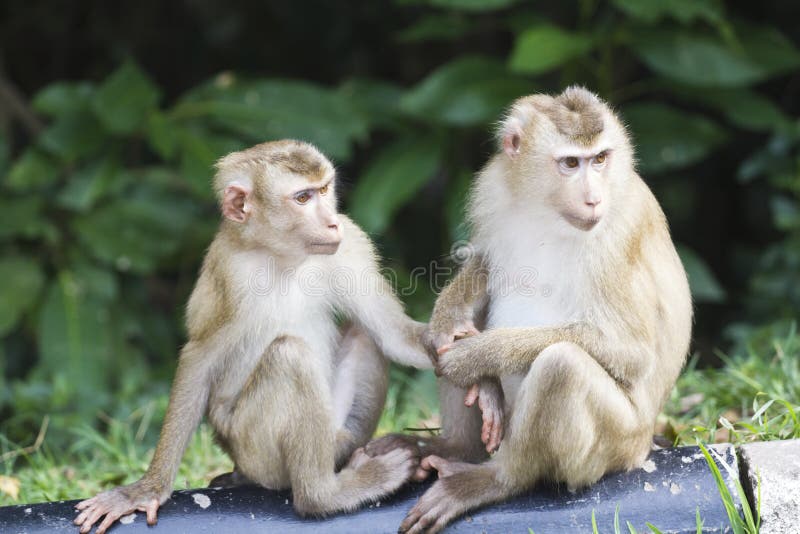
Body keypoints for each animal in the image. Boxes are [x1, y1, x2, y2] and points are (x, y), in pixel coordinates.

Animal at [73, 140, 436, 534]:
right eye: (303, 197)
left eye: (325, 190)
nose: (332, 221)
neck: (282, 255)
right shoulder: (227, 271)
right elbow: (199, 359)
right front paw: (147, 489)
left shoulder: (352, 246)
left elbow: (391, 334)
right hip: (254, 450)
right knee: (290, 354)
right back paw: (325, 495)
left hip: (329, 431)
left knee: (363, 336)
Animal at [398, 87, 693, 533]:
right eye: (571, 163)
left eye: (600, 159)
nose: (593, 198)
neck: (550, 212)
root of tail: (644, 447)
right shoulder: (495, 188)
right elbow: (485, 264)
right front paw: (448, 323)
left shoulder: (616, 233)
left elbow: (631, 351)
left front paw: (475, 357)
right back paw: (456, 448)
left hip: (617, 445)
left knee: (562, 367)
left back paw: (498, 480)